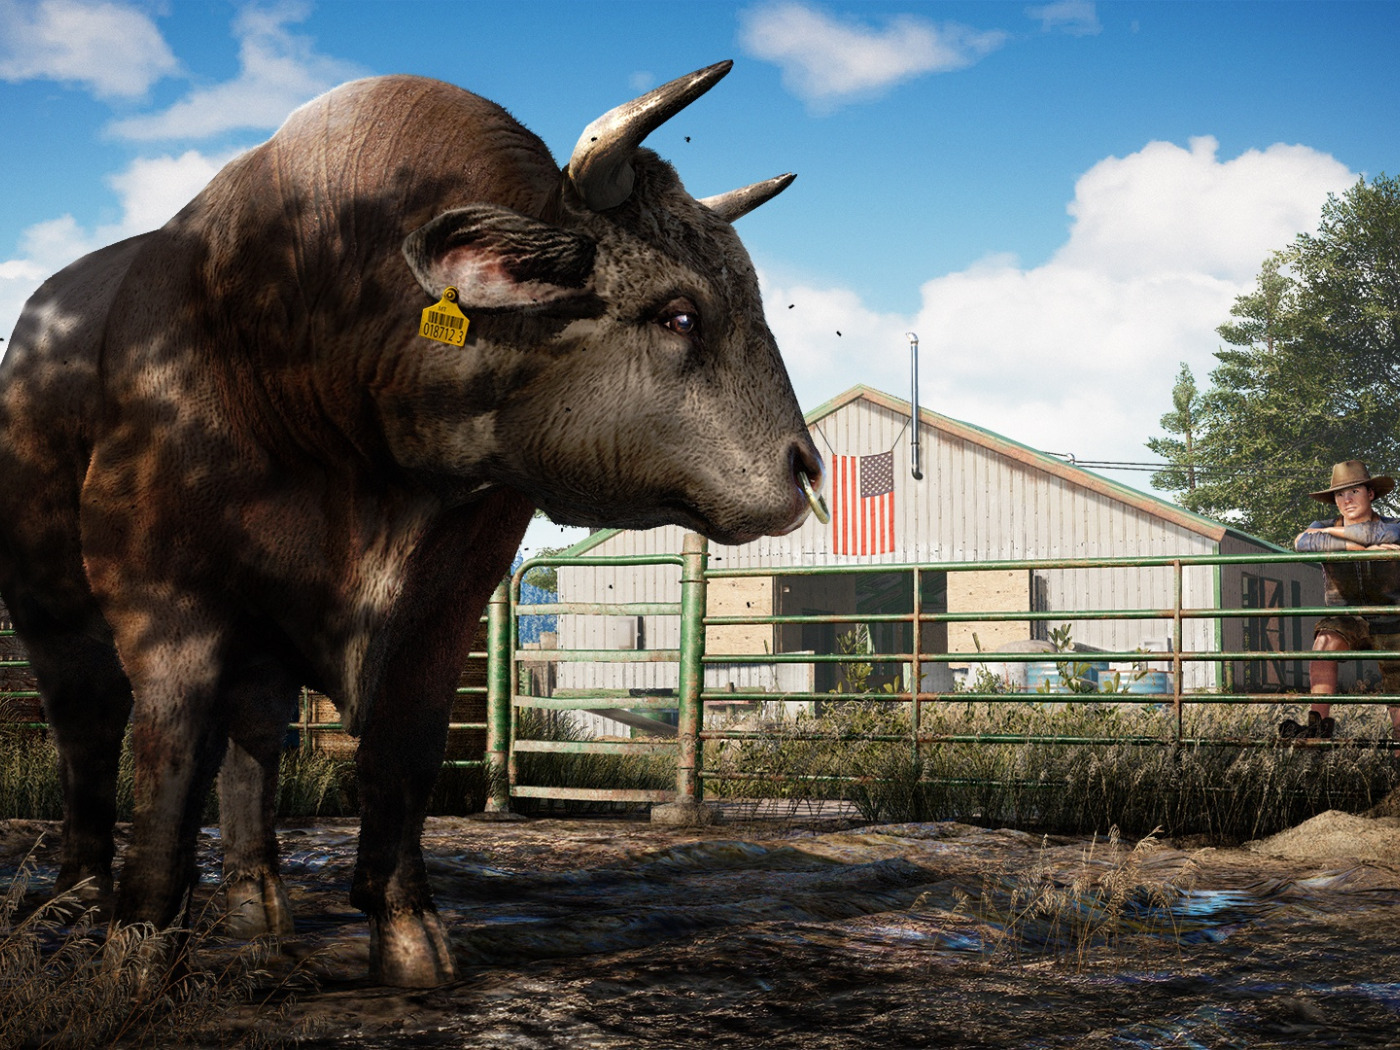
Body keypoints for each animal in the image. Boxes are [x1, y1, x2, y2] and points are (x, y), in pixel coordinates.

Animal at [0, 61, 823, 987]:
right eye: (679, 312)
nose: (806, 469)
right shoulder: (166, 601)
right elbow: (170, 759)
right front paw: (139, 946)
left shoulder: (443, 607)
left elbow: (403, 754)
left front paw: (406, 930)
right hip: (51, 611)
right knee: (90, 727)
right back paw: (77, 897)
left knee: (253, 743)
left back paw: (257, 905)